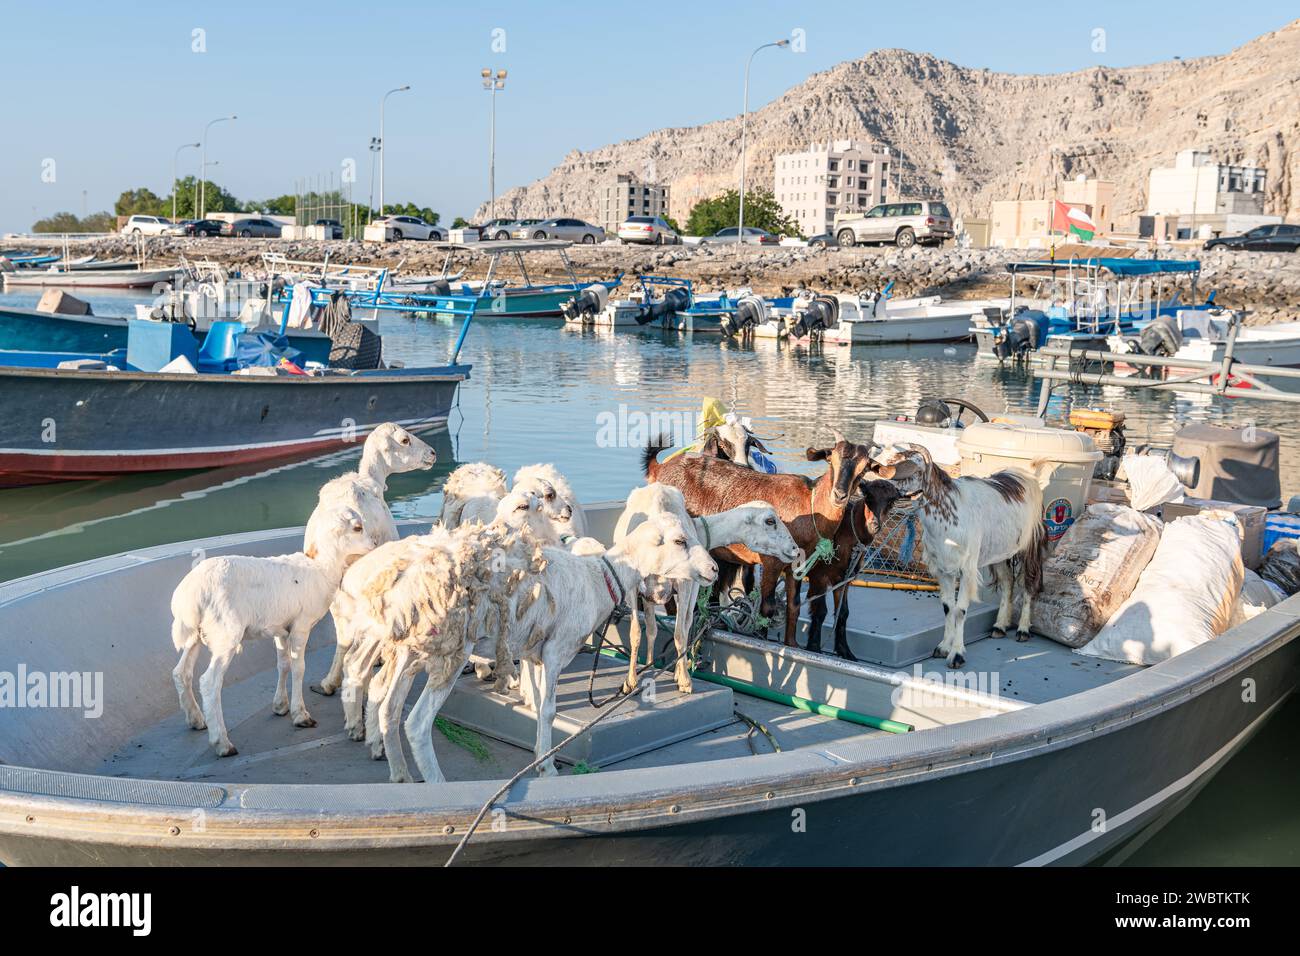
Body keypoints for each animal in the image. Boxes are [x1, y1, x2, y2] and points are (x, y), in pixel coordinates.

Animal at [171, 507, 378, 756]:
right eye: (357, 528)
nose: (375, 543)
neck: (323, 567)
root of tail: (190, 594)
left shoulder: (281, 629)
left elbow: (283, 664)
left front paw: (280, 706)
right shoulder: (301, 625)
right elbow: (299, 667)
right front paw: (301, 715)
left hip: (194, 634)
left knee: (181, 672)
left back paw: (196, 720)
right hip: (226, 634)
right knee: (209, 682)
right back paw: (222, 743)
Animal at [613, 483, 802, 694]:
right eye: (770, 521)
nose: (794, 549)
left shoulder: (685, 585)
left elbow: (679, 632)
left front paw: (682, 679)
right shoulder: (636, 586)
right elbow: (637, 632)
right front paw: (630, 681)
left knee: (669, 626)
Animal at [645, 430, 884, 647]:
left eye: (864, 469)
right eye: (831, 459)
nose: (839, 495)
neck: (809, 505)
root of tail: (660, 468)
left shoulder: (798, 566)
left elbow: (793, 606)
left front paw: (791, 644)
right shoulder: (771, 562)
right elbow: (767, 607)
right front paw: (760, 639)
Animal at [877, 443, 1047, 668]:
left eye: (902, 469)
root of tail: (1029, 474)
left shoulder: (967, 569)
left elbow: (960, 610)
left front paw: (956, 654)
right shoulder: (943, 569)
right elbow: (948, 607)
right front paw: (943, 647)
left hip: (1030, 546)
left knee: (1029, 583)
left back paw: (1023, 630)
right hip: (1000, 552)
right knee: (1008, 583)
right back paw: (999, 626)